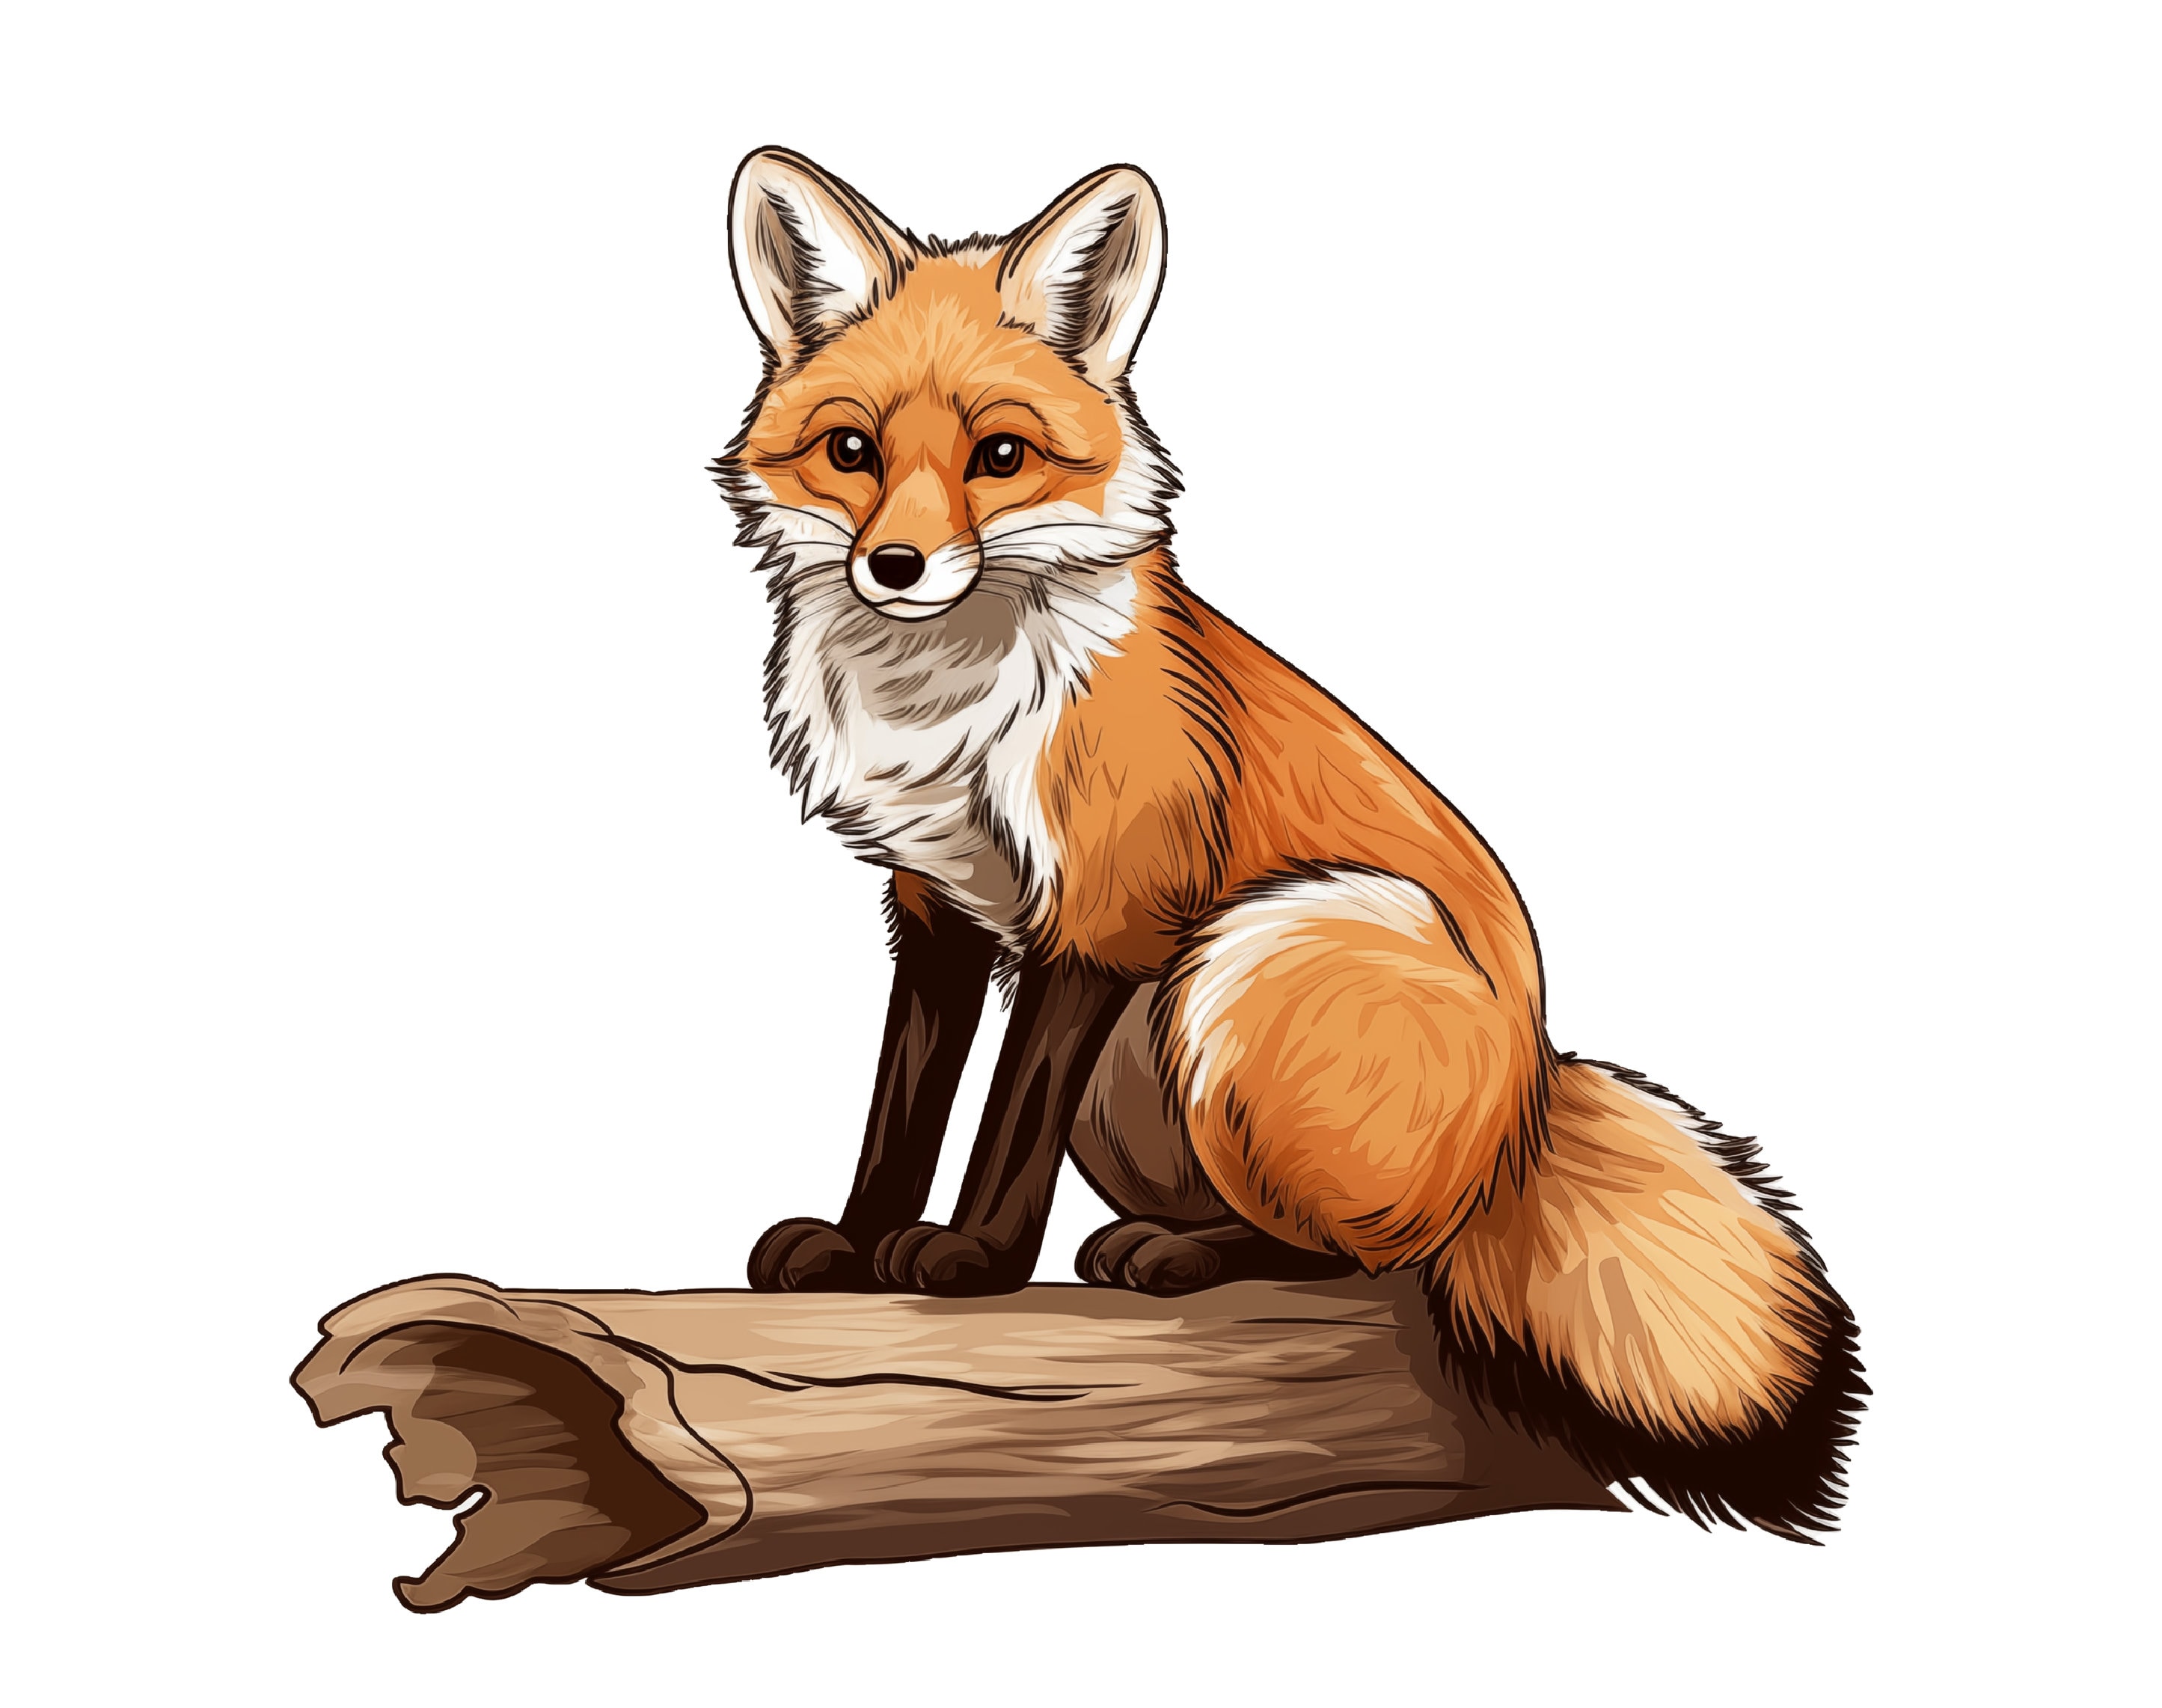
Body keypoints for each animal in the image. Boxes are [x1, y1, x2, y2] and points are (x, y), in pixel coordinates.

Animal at [715, 147, 1865, 1539]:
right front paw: (854, 1240)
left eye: (999, 456)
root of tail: (1527, 1110)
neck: (944, 708)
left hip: (1259, 946)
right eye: (852, 450)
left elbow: (1003, 1125)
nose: (895, 564)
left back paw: (1178, 1257)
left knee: (1363, 1256)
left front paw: (974, 1260)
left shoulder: (1103, 906)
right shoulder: (933, 906)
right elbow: (903, 1106)